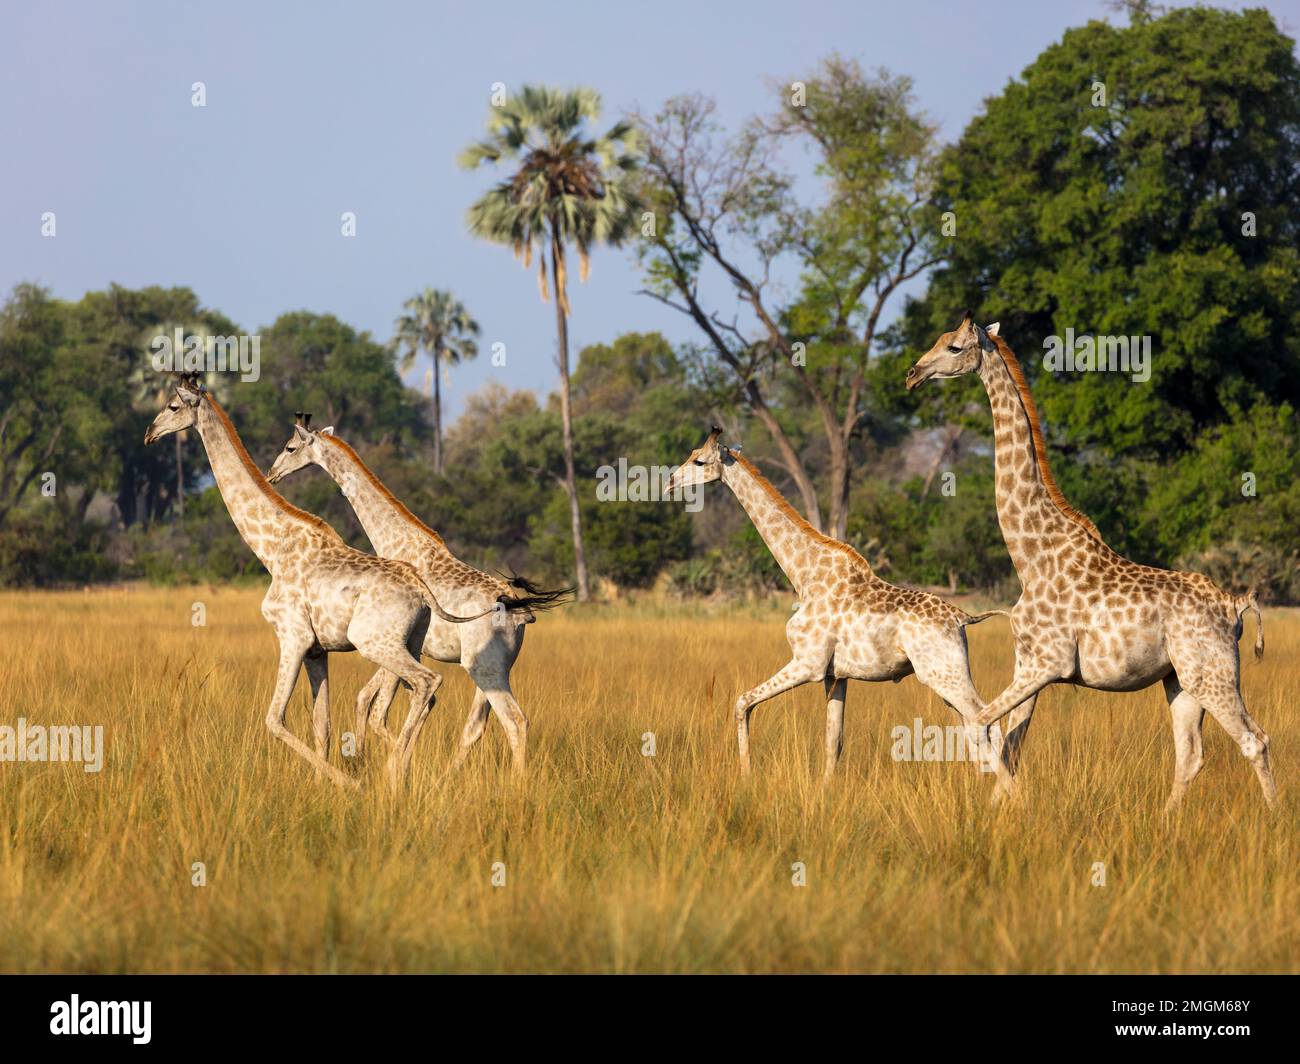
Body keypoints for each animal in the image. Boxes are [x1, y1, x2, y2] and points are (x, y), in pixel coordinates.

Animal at [144, 376, 491, 788]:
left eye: (173, 406)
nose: (149, 433)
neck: (272, 548)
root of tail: (423, 591)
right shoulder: (317, 649)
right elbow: (321, 724)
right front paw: (322, 787)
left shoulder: (292, 636)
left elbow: (274, 719)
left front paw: (348, 783)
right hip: (411, 641)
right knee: (424, 695)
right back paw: (400, 773)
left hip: (376, 642)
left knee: (427, 683)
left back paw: (391, 775)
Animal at [266, 414, 569, 772]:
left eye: (290, 447)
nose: (271, 474)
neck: (395, 539)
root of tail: (521, 614)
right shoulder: (409, 647)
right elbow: (374, 700)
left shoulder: (398, 643)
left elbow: (380, 708)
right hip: (495, 668)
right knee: (477, 725)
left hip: (484, 666)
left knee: (514, 720)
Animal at [665, 428, 1010, 786]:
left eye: (699, 460)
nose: (670, 482)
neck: (804, 574)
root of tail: (964, 618)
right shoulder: (836, 675)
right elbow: (834, 739)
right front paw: (825, 790)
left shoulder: (808, 663)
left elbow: (742, 701)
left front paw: (746, 777)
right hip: (947, 673)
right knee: (983, 720)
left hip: (942, 672)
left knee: (982, 719)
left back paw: (1005, 789)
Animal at [906, 313, 1275, 809]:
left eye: (954, 347)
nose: (913, 373)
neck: (1031, 557)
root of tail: (1234, 607)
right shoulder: (1028, 662)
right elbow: (1009, 744)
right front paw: (1002, 809)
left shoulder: (1048, 663)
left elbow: (981, 725)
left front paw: (1015, 803)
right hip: (1181, 680)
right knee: (1191, 753)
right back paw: (1165, 820)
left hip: (1214, 674)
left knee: (1254, 740)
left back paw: (1274, 816)